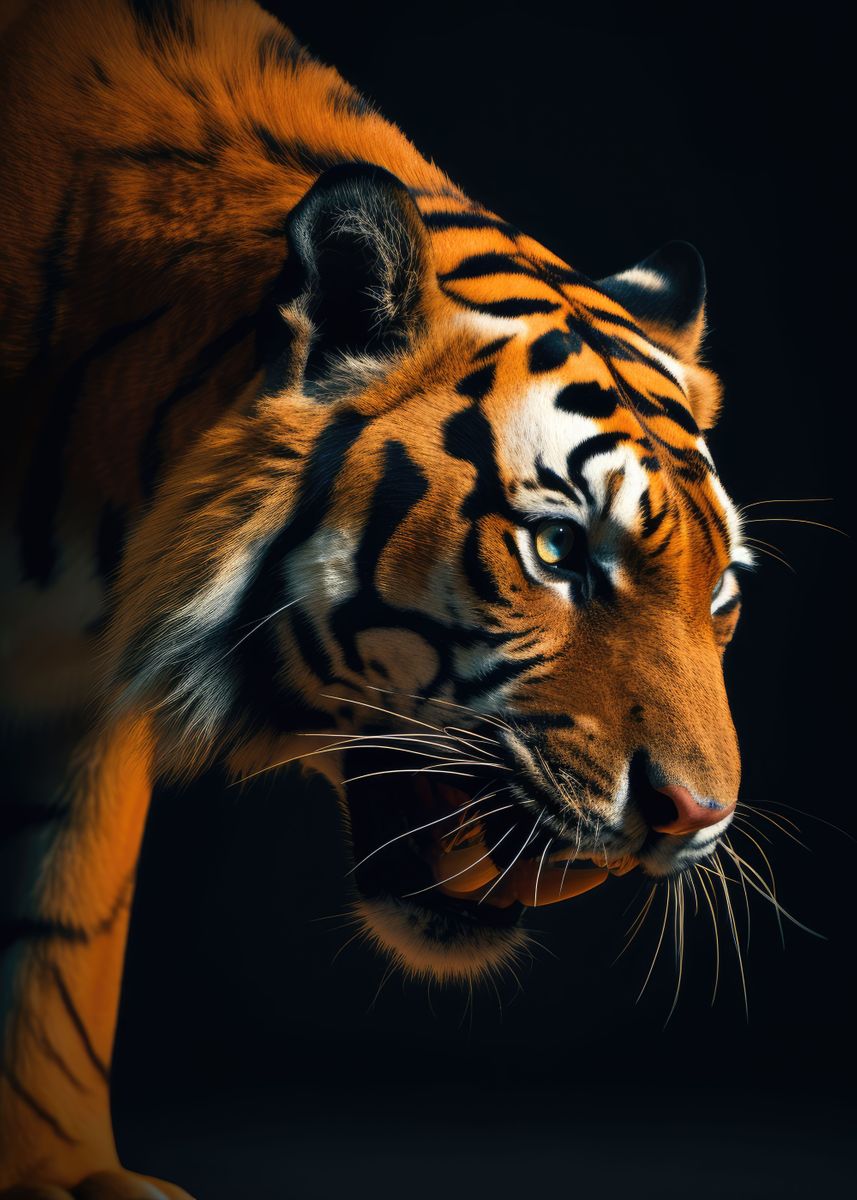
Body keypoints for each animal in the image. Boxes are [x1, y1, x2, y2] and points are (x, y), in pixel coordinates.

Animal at [0, 0, 751, 1195]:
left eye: (719, 594)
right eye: (556, 549)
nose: (696, 817)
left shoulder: (82, 700)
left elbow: (57, 942)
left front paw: (58, 1170)